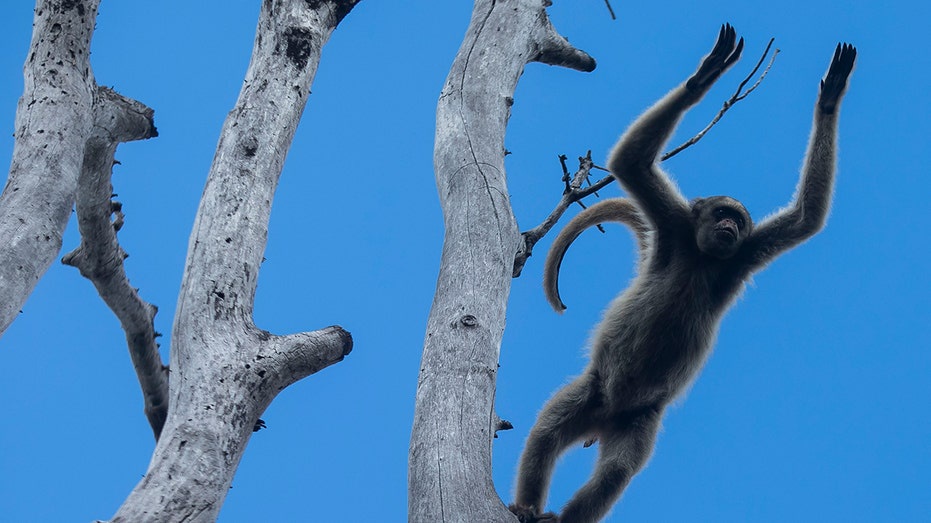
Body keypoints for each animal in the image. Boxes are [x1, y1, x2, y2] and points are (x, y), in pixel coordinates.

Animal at [510, 25, 856, 523]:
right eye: (722, 214)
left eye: (738, 220)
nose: (731, 227)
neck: (703, 257)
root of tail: (604, 417)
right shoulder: (674, 226)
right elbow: (630, 162)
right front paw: (706, 74)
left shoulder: (742, 255)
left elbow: (807, 218)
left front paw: (830, 98)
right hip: (594, 392)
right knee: (548, 432)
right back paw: (527, 507)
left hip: (638, 419)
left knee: (614, 471)